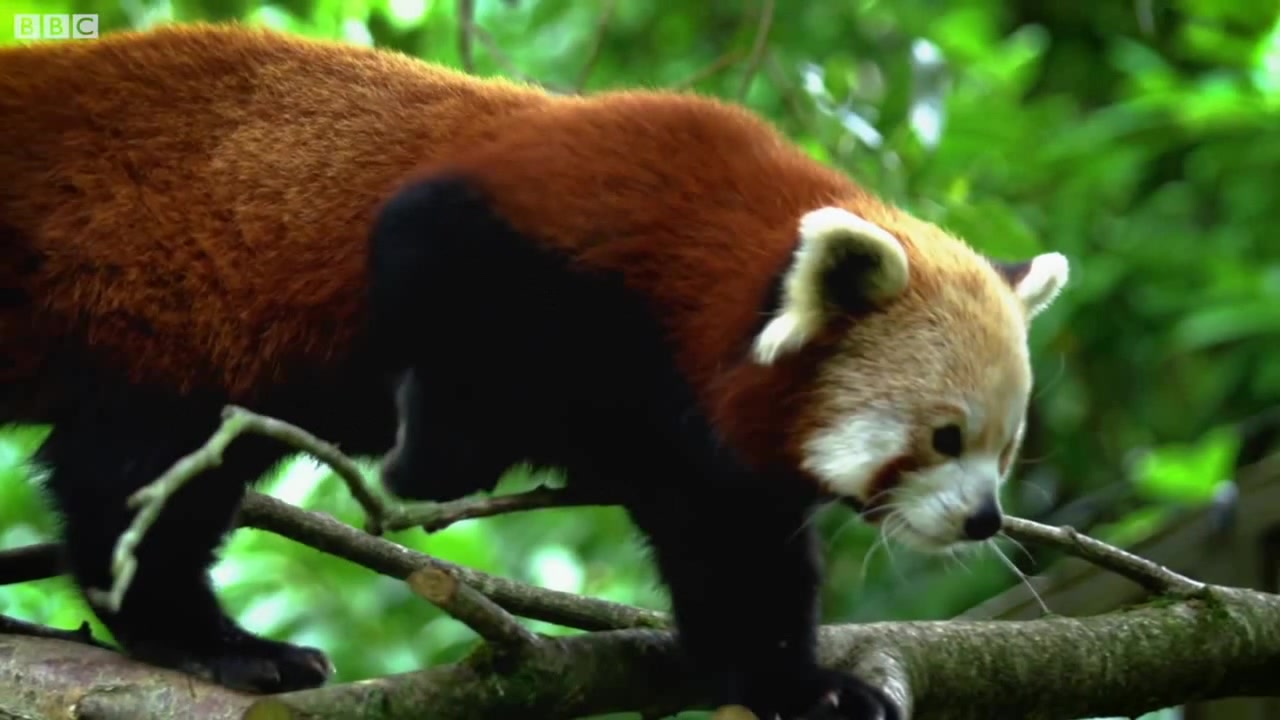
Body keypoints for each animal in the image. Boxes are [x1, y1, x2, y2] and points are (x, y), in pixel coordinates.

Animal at [0, 22, 1068, 719]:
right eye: (943, 437)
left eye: (1008, 446)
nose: (986, 520)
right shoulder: (524, 230)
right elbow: (435, 304)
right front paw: (435, 463)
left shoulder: (693, 426)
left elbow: (731, 553)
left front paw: (801, 688)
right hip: (155, 309)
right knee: (140, 480)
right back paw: (209, 641)